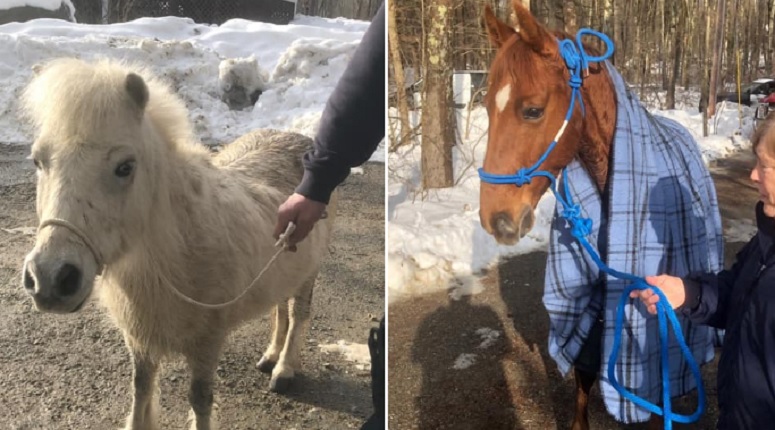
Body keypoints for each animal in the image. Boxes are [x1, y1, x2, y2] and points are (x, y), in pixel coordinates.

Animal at [19, 57, 337, 430]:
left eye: (125, 166)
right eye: (38, 161)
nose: (50, 278)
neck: (179, 249)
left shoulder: (207, 343)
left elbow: (200, 399)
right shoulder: (139, 338)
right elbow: (141, 387)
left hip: (309, 273)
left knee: (298, 312)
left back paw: (284, 369)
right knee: (279, 307)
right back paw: (270, 356)